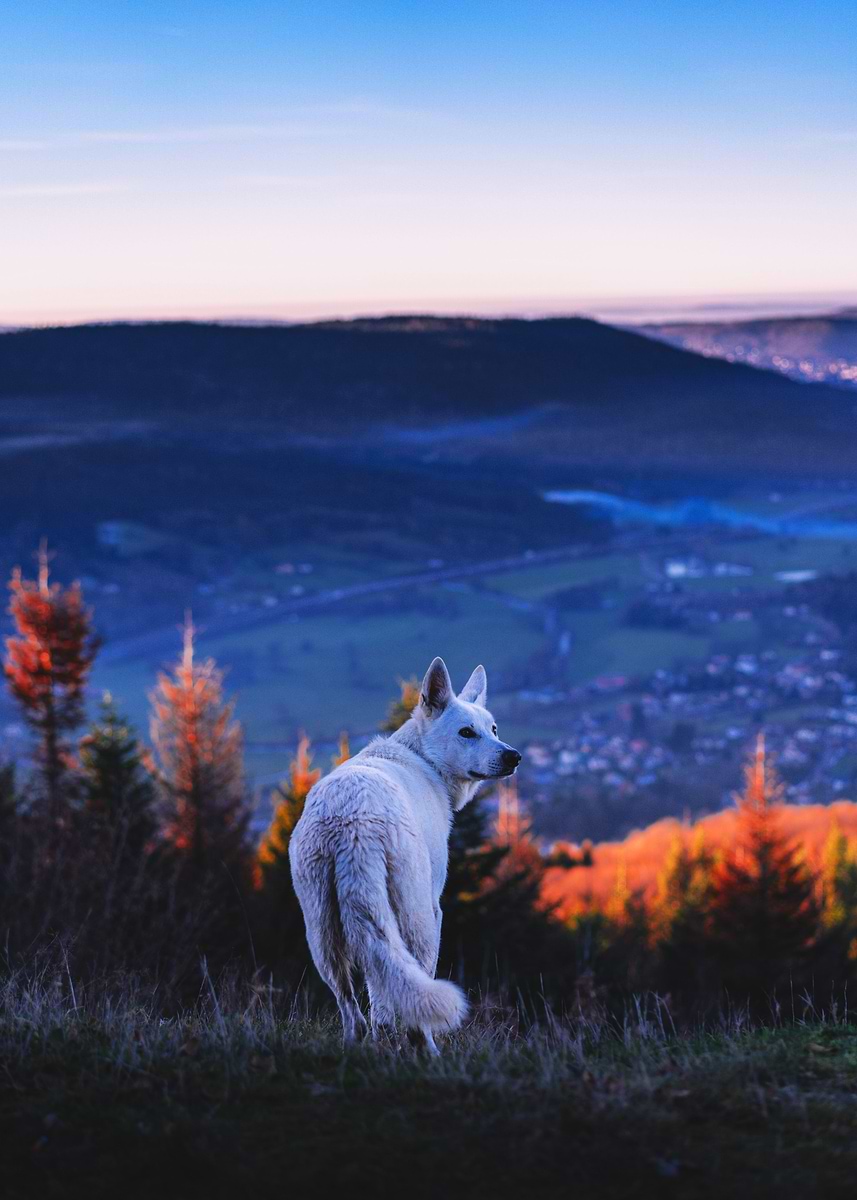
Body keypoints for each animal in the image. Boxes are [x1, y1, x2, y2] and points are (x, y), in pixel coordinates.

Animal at [289, 657, 521, 1053]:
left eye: (492, 729)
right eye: (467, 732)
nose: (513, 756)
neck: (422, 758)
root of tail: (350, 820)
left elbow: (378, 994)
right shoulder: (433, 906)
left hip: (322, 928)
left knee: (355, 1005)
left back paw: (358, 1045)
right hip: (418, 917)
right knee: (415, 991)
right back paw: (427, 1048)